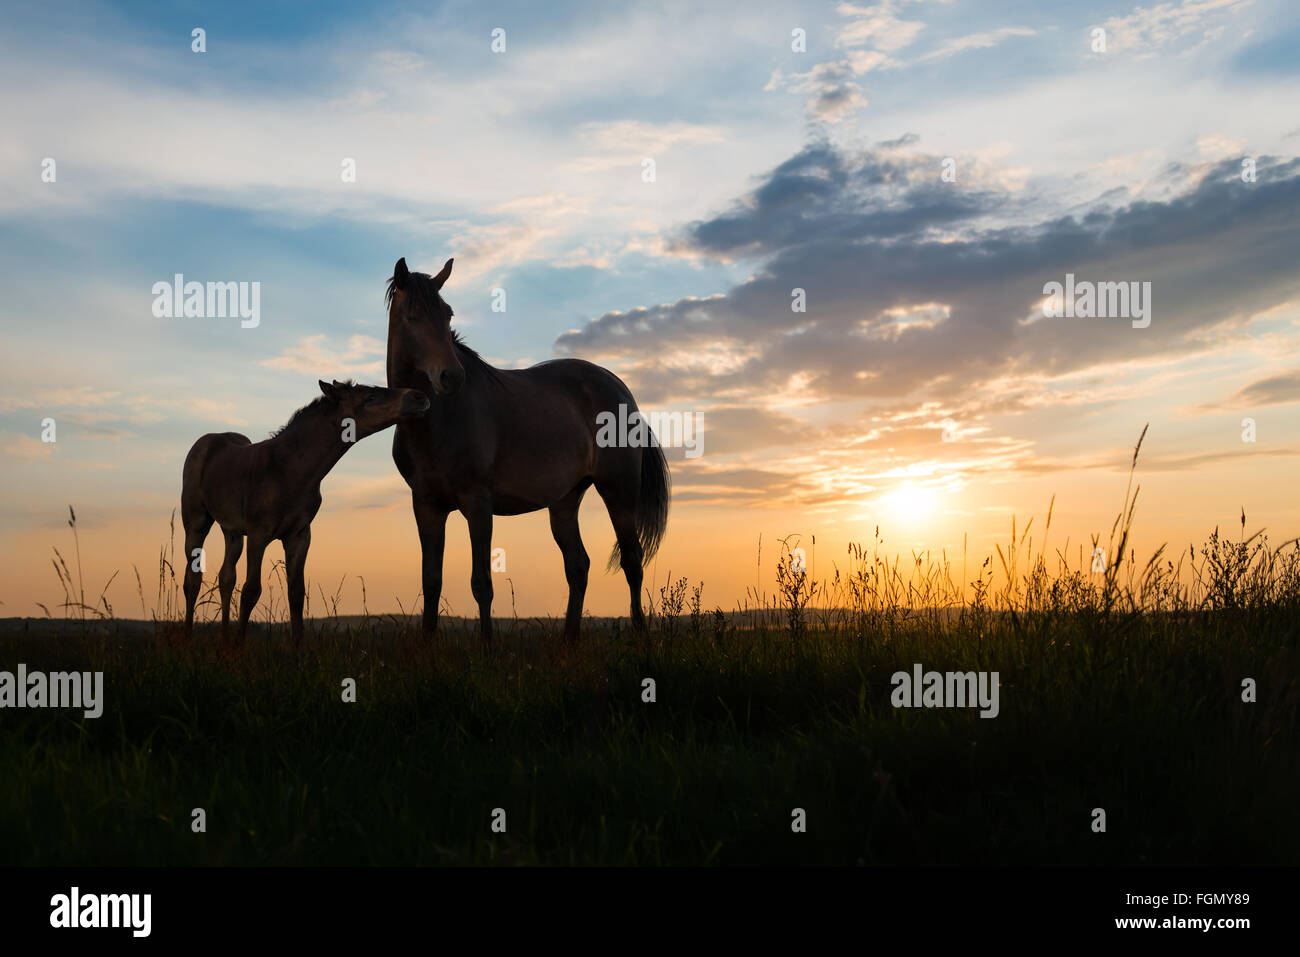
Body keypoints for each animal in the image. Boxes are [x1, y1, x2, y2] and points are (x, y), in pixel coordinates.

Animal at [181, 379, 431, 642]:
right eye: (369, 397)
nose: (420, 397)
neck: (289, 470)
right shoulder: (258, 534)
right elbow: (251, 590)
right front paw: (238, 646)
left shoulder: (299, 535)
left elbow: (296, 592)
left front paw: (296, 646)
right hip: (196, 522)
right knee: (193, 579)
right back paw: (188, 638)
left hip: (232, 531)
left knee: (226, 577)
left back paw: (223, 638)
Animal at [385, 256, 670, 642]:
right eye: (412, 316)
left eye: (447, 314)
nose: (451, 377)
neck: (436, 421)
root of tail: (622, 390)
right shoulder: (426, 505)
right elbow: (431, 582)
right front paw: (426, 648)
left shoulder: (477, 503)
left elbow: (481, 583)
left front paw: (487, 648)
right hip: (565, 502)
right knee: (578, 566)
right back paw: (568, 643)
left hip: (618, 494)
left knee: (632, 560)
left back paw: (640, 637)